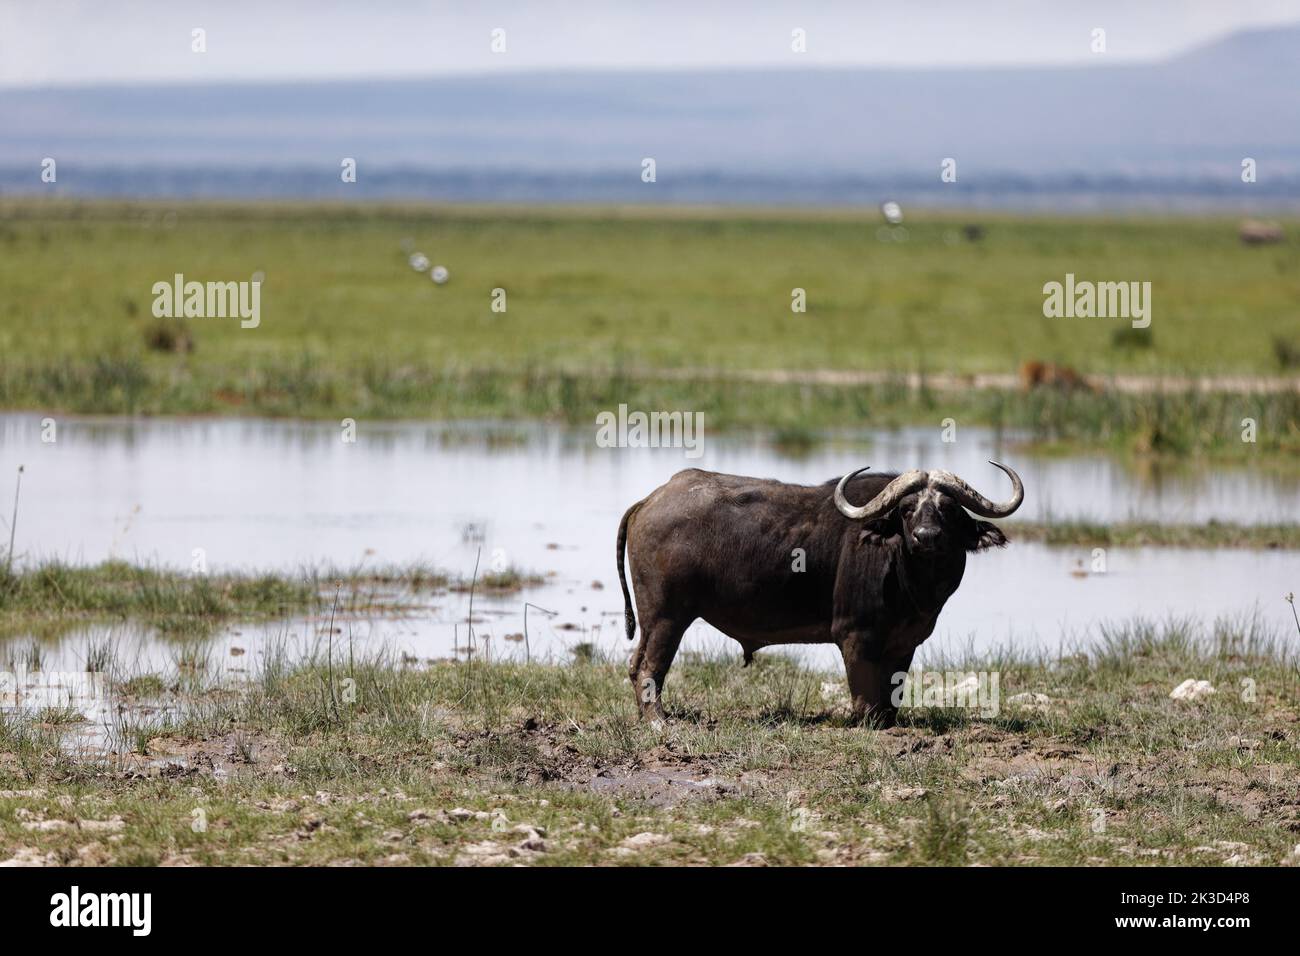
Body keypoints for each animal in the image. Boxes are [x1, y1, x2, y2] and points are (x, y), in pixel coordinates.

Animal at [616, 462, 1023, 726]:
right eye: (907, 509)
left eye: (948, 510)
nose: (927, 537)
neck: (909, 580)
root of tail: (650, 501)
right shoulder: (856, 636)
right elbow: (866, 700)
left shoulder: (905, 643)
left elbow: (892, 696)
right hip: (665, 617)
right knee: (647, 667)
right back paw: (659, 721)